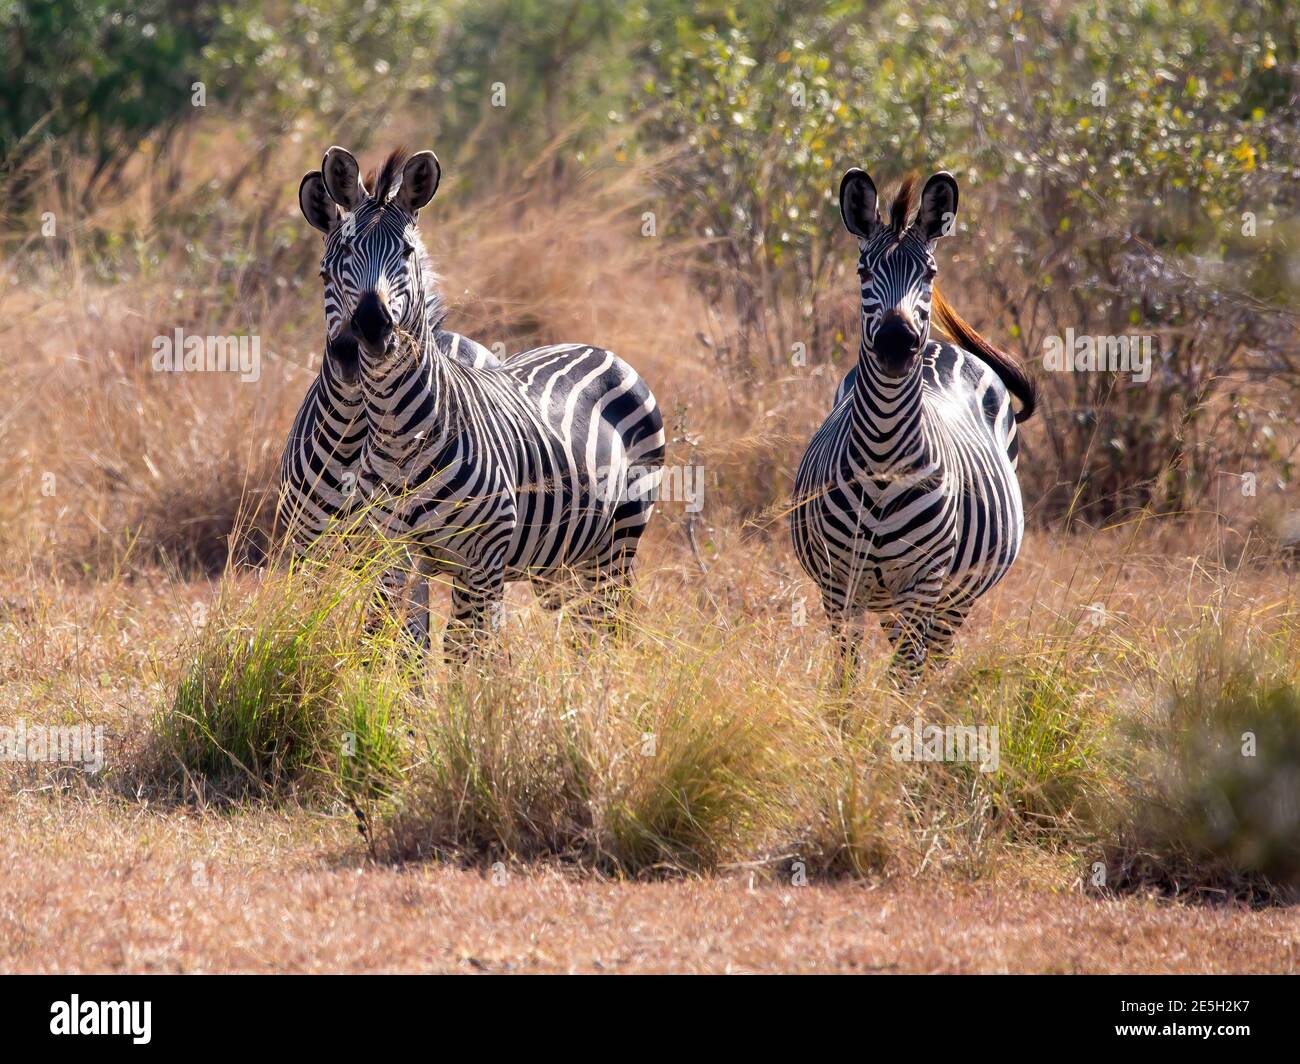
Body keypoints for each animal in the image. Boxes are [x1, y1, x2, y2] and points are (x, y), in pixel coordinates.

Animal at [296, 145, 665, 658]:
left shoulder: (481, 557)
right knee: (579, 629)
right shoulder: (386, 554)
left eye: (408, 252)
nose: (368, 328)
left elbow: (462, 651)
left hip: (620, 536)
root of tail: (596, 348)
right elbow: (393, 641)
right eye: (342, 257)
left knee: (604, 625)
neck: (391, 434)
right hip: (562, 557)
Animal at [791, 168, 1038, 682]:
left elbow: (903, 679)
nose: (895, 343)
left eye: (929, 274)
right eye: (863, 272)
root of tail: (942, 347)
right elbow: (845, 679)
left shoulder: (922, 585)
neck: (884, 455)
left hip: (952, 598)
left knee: (931, 663)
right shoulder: (838, 586)